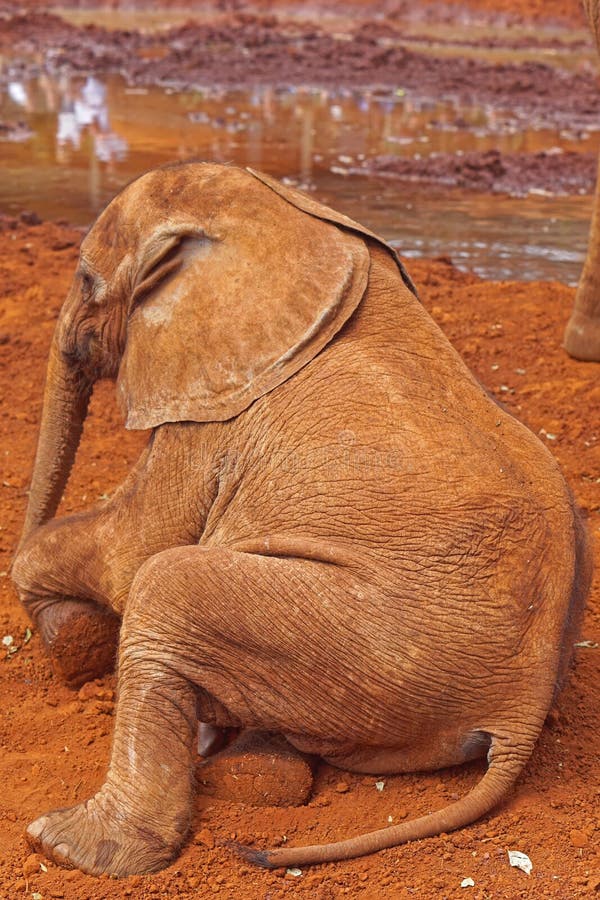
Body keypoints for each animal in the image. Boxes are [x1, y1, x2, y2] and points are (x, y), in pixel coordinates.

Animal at [12, 161, 590, 877]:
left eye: (89, 281)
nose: (54, 649)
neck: (294, 221)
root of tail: (522, 716)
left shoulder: (213, 412)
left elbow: (130, 552)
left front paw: (72, 641)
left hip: (373, 648)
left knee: (165, 587)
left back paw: (68, 844)